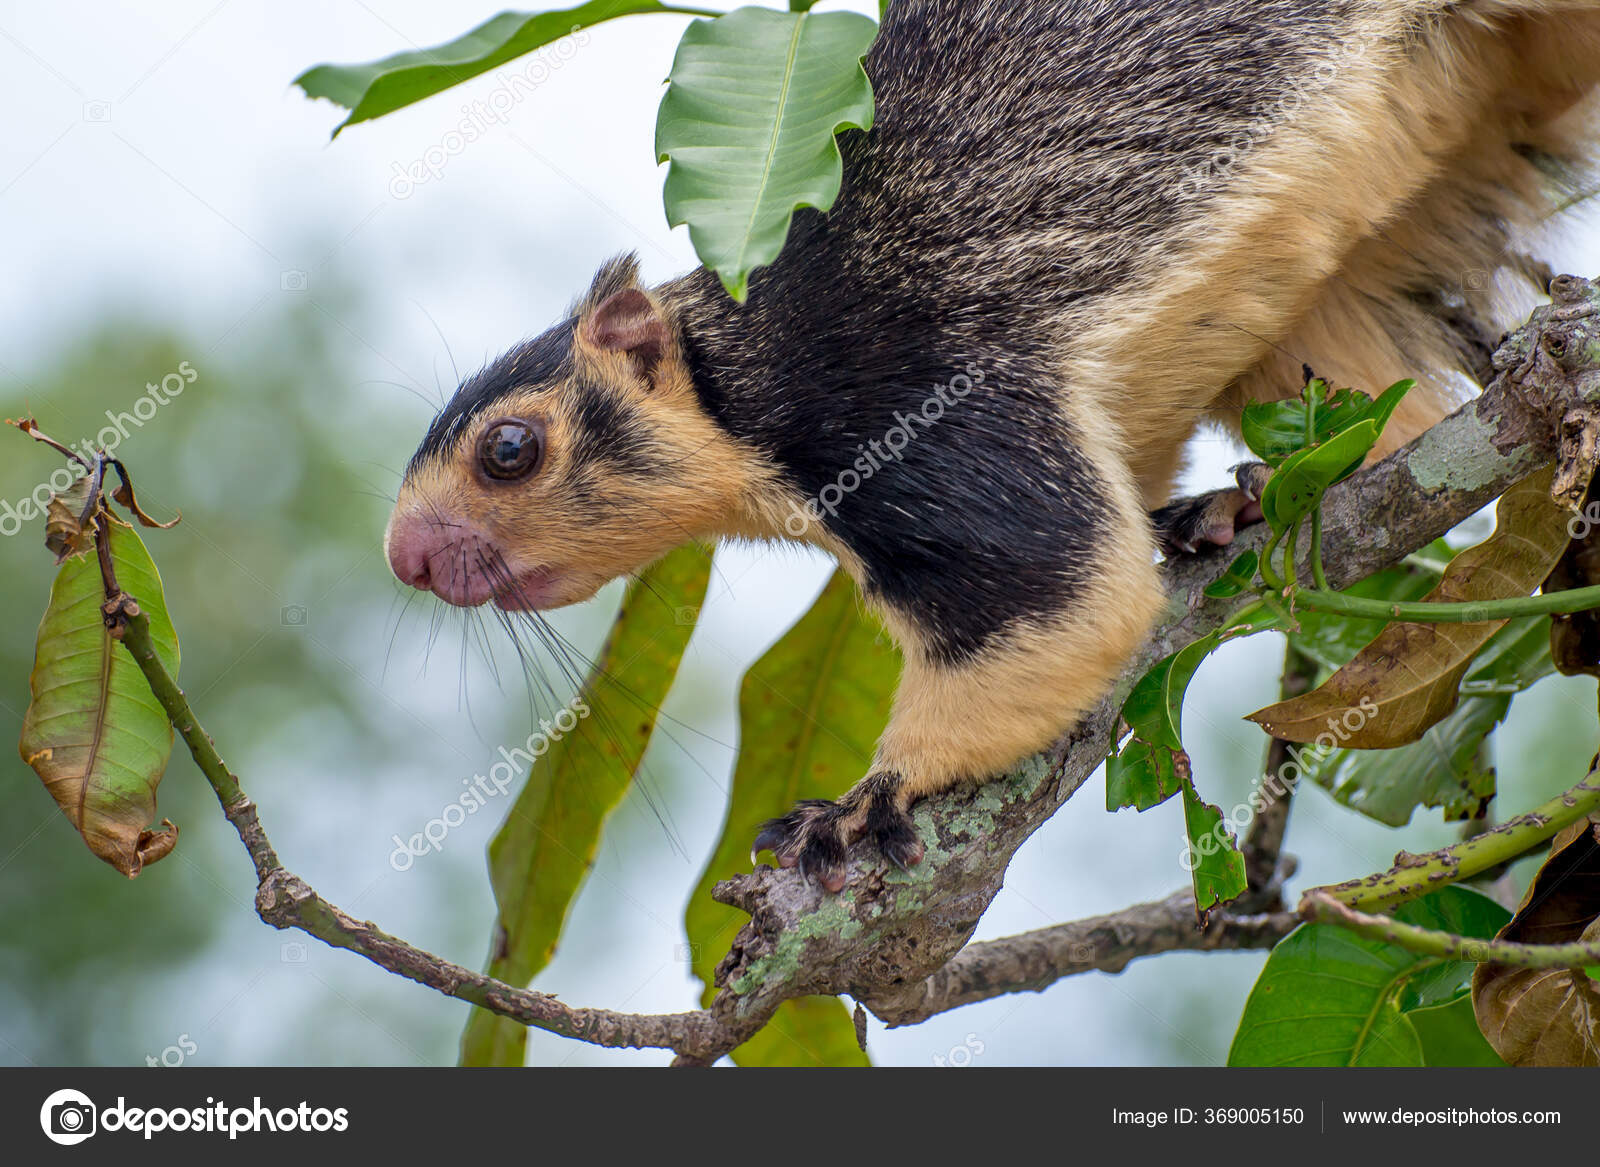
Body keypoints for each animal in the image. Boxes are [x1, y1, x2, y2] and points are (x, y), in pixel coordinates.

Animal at [386, 0, 1600, 892]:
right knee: (1388, 409)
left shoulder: (917, 407)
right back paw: (1246, 499)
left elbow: (1061, 591)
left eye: (510, 449)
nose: (407, 557)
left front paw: (868, 796)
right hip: (1319, 306)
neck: (743, 370)